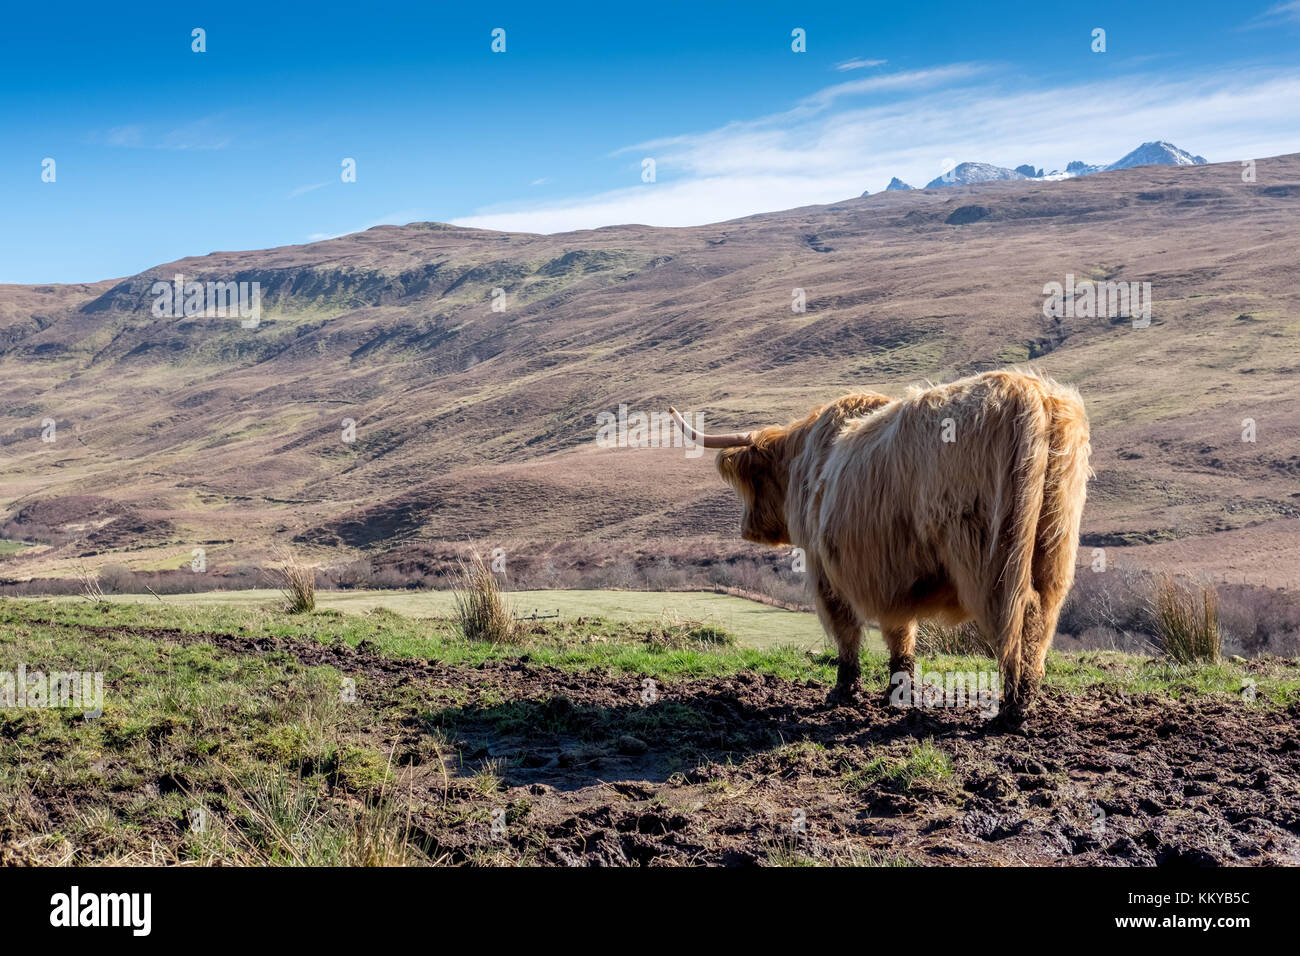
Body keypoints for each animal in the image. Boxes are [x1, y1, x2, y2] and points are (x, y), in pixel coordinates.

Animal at [669, 369, 1091, 727]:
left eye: (756, 480)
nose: (746, 528)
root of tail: (1030, 391)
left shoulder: (825, 568)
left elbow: (847, 632)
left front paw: (843, 692)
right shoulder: (891, 575)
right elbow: (900, 634)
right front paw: (897, 693)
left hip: (990, 554)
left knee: (1016, 614)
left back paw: (1011, 709)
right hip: (1053, 545)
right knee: (1043, 613)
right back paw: (1027, 698)